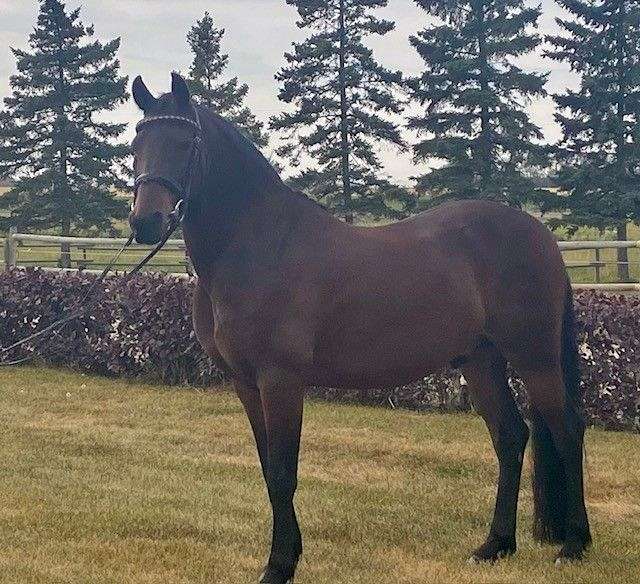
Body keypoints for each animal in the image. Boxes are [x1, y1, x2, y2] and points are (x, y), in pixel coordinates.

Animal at [129, 73, 591, 583]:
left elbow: (284, 472)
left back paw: (573, 545)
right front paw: (287, 556)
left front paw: (280, 565)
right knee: (510, 438)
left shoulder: (281, 381)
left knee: (567, 431)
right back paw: (495, 545)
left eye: (185, 143)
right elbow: (269, 470)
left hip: (535, 357)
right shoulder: (246, 384)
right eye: (137, 142)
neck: (257, 244)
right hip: (481, 360)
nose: (145, 222)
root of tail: (540, 235)